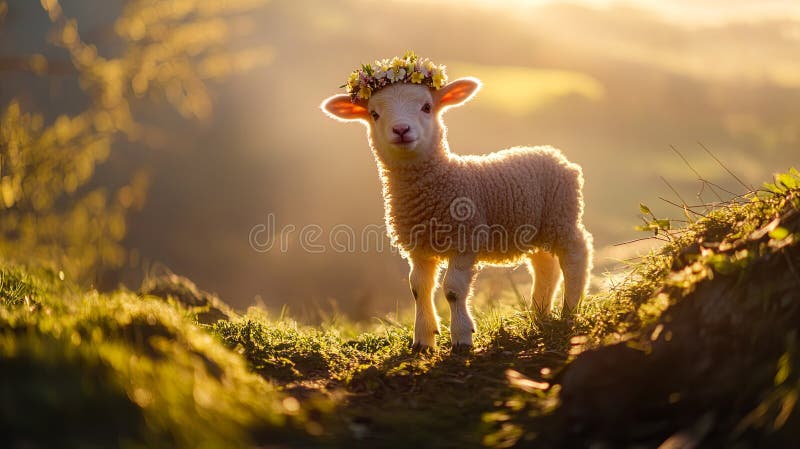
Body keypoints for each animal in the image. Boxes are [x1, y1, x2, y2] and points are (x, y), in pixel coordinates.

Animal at [321, 55, 593, 353]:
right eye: (374, 113)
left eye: (427, 107)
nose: (401, 130)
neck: (439, 182)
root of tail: (554, 154)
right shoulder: (419, 249)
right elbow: (418, 288)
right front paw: (423, 340)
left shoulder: (465, 239)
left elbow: (453, 290)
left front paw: (462, 337)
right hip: (536, 227)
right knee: (546, 266)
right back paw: (539, 314)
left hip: (562, 216)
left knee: (577, 255)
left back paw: (570, 311)